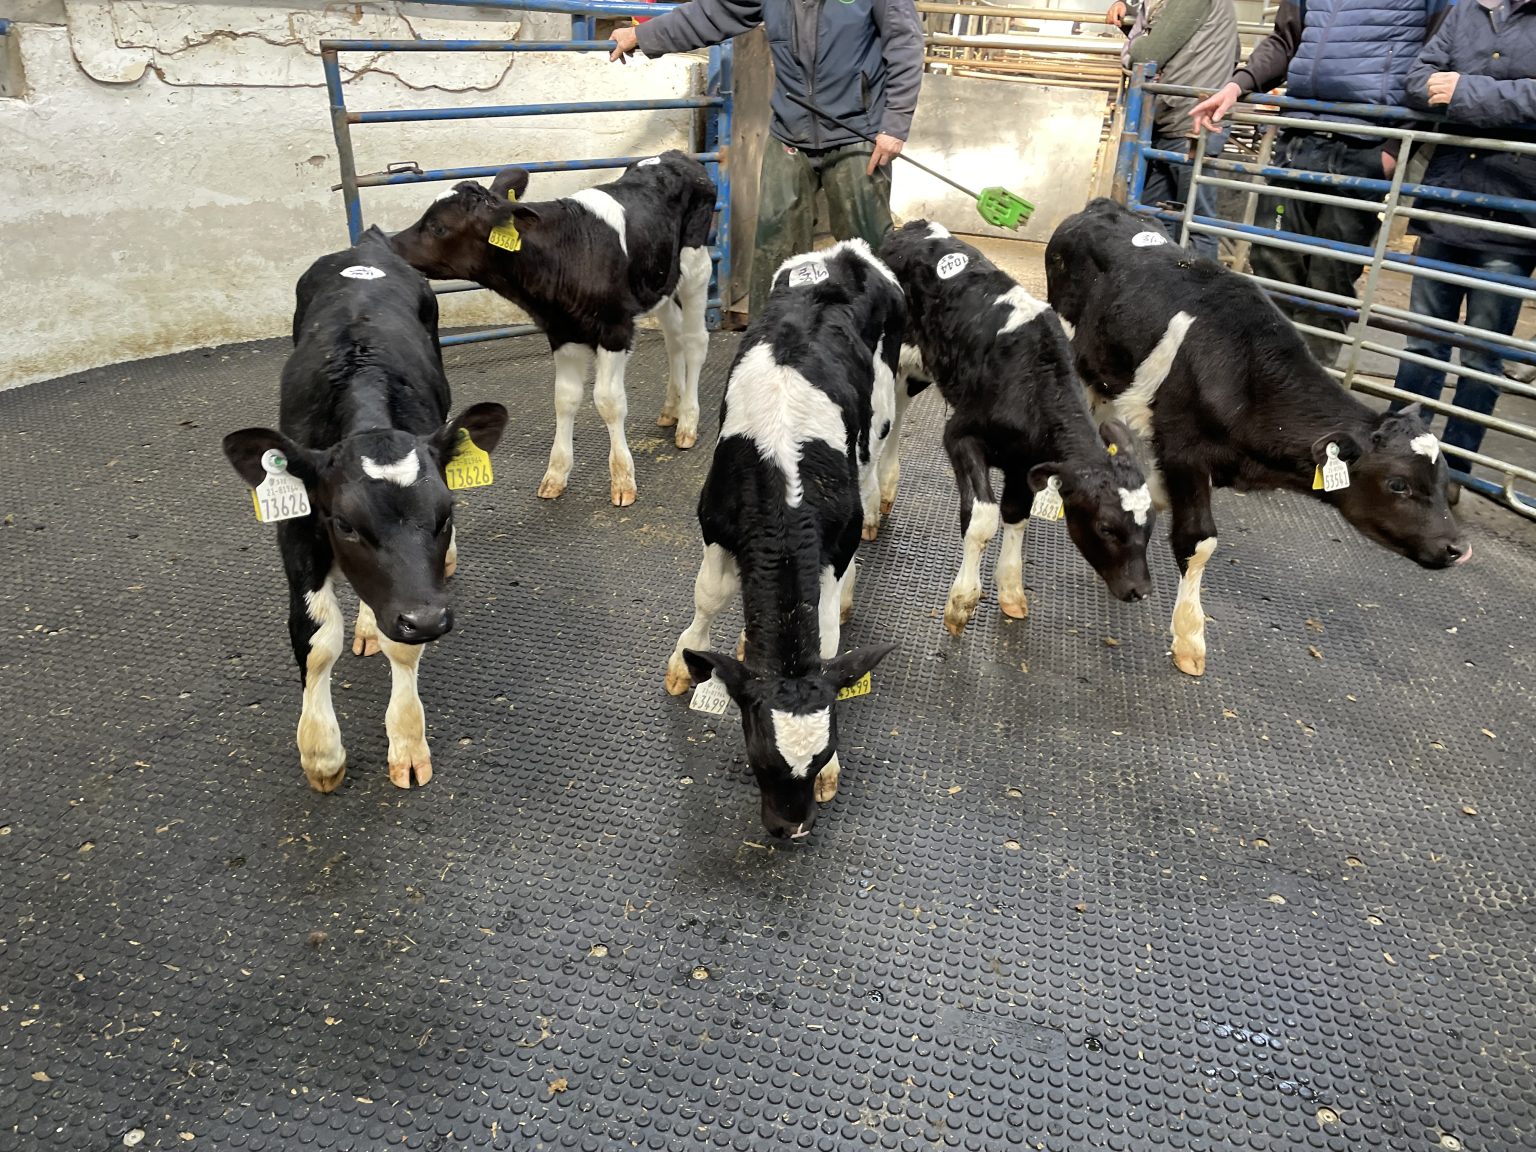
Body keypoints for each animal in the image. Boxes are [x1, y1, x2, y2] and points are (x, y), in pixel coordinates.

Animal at [223, 226, 509, 791]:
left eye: (446, 514)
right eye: (344, 524)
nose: (429, 618)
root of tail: (368, 244)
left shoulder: (415, 596)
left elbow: (402, 644)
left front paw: (407, 740)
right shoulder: (297, 529)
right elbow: (315, 637)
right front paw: (321, 751)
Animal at [390, 151, 715, 507]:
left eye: (438, 226)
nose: (390, 243)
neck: (564, 253)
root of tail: (675, 155)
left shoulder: (615, 330)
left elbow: (608, 401)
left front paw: (622, 479)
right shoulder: (562, 332)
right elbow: (565, 397)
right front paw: (556, 475)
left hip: (696, 266)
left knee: (695, 341)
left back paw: (687, 422)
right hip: (662, 282)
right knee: (674, 339)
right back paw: (671, 409)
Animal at [664, 240, 901, 840]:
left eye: (823, 755)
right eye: (759, 759)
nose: (792, 828)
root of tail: (845, 252)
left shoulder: (834, 543)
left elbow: (826, 628)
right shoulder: (715, 524)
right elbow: (709, 595)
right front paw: (684, 658)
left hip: (880, 418)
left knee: (871, 472)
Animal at [877, 221, 1156, 636]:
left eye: (1149, 525)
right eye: (1106, 527)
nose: (1140, 590)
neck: (1032, 385)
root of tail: (912, 226)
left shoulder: (1026, 465)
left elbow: (1014, 514)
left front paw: (1010, 589)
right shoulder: (960, 435)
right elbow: (981, 517)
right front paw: (962, 602)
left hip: (922, 369)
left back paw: (885, 490)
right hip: (895, 356)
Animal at [1046, 197, 1469, 677]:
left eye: (1444, 479)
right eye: (1398, 484)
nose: (1458, 548)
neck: (1245, 373)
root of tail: (1105, 205)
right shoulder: (1184, 453)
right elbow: (1198, 540)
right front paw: (1190, 639)